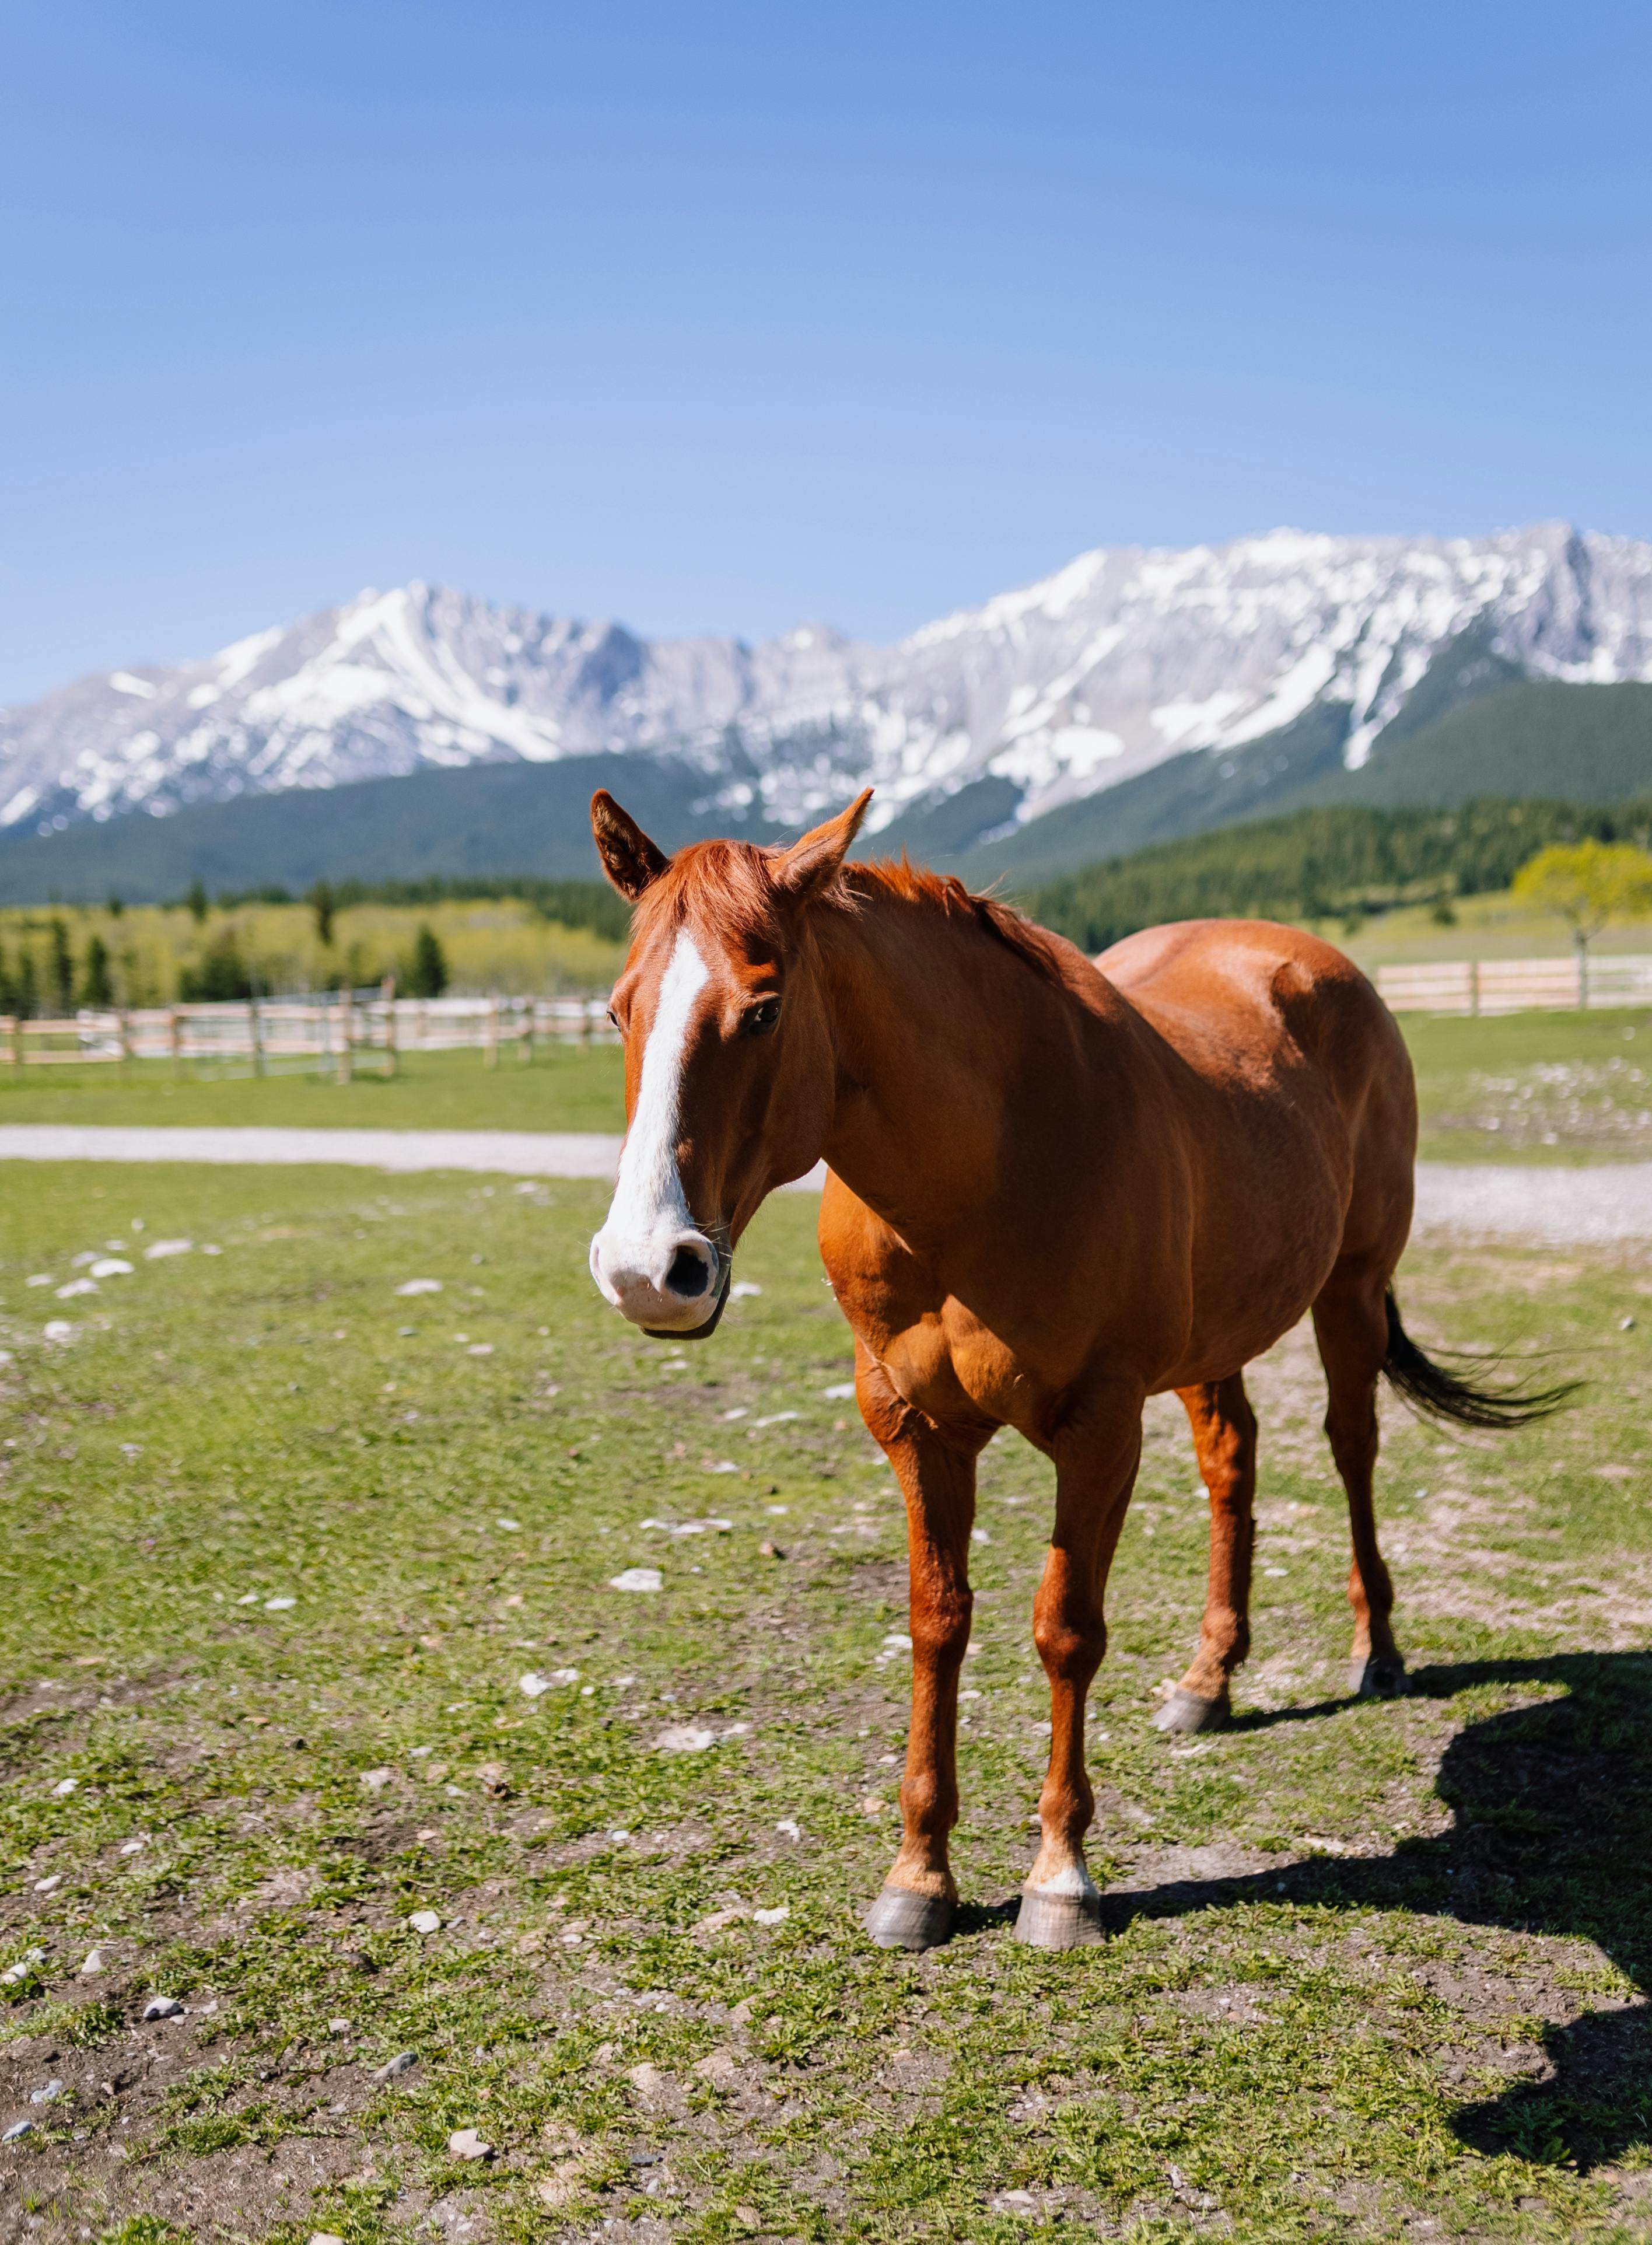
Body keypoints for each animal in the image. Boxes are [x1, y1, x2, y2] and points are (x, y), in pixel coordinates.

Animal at [584, 787, 1569, 1950]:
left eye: (766, 1009)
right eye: (618, 1012)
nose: (650, 1268)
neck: (985, 1165)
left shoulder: (1098, 1427)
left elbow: (1065, 1630)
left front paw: (1060, 1877)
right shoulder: (913, 1427)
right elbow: (936, 1622)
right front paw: (918, 1875)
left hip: (1352, 1290)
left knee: (1351, 1448)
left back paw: (1377, 1649)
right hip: (1214, 1340)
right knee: (1231, 1461)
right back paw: (1208, 1678)